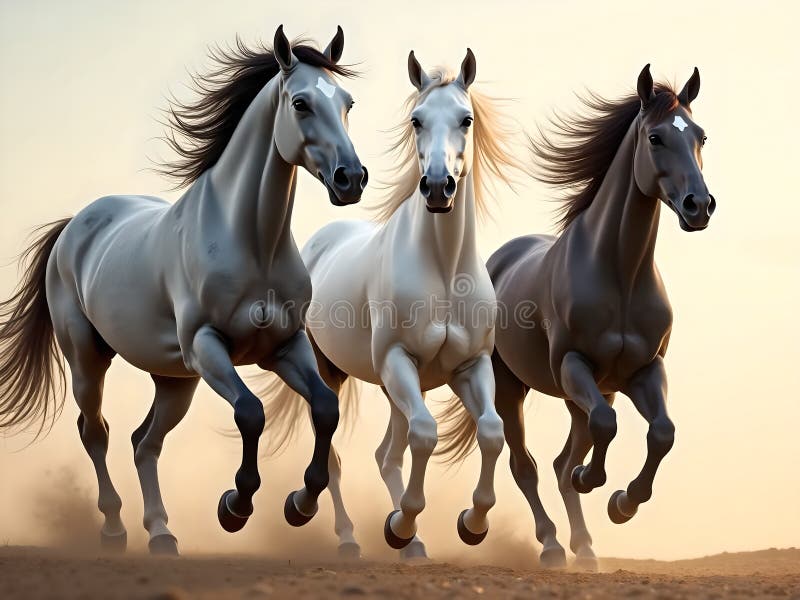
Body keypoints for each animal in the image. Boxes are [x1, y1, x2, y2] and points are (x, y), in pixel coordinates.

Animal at [0, 25, 368, 555]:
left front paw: (300, 505)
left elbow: (325, 409)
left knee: (144, 442)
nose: (351, 179)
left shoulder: (284, 347)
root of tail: (76, 225)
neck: (252, 242)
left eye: (347, 103)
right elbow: (250, 413)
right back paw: (115, 530)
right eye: (300, 103)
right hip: (89, 360)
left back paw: (161, 533)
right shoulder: (207, 346)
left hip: (175, 380)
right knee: (96, 432)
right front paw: (235, 507)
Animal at [261, 49, 525, 559]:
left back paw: (412, 544)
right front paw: (400, 524)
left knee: (387, 453)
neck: (443, 268)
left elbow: (490, 432)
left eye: (466, 119)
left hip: (393, 386)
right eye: (416, 120)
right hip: (334, 370)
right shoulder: (398, 361)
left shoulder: (469, 367)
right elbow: (425, 435)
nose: (438, 187)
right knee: (337, 454)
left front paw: (472, 523)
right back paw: (339, 531)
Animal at [437, 65, 714, 570]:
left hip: (578, 395)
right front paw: (597, 482)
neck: (620, 274)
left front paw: (623, 502)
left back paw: (584, 547)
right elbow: (607, 426)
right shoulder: (573, 365)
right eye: (656, 137)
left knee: (561, 461)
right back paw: (542, 542)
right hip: (514, 387)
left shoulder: (644, 371)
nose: (699, 206)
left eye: (700, 135)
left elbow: (662, 433)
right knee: (526, 466)